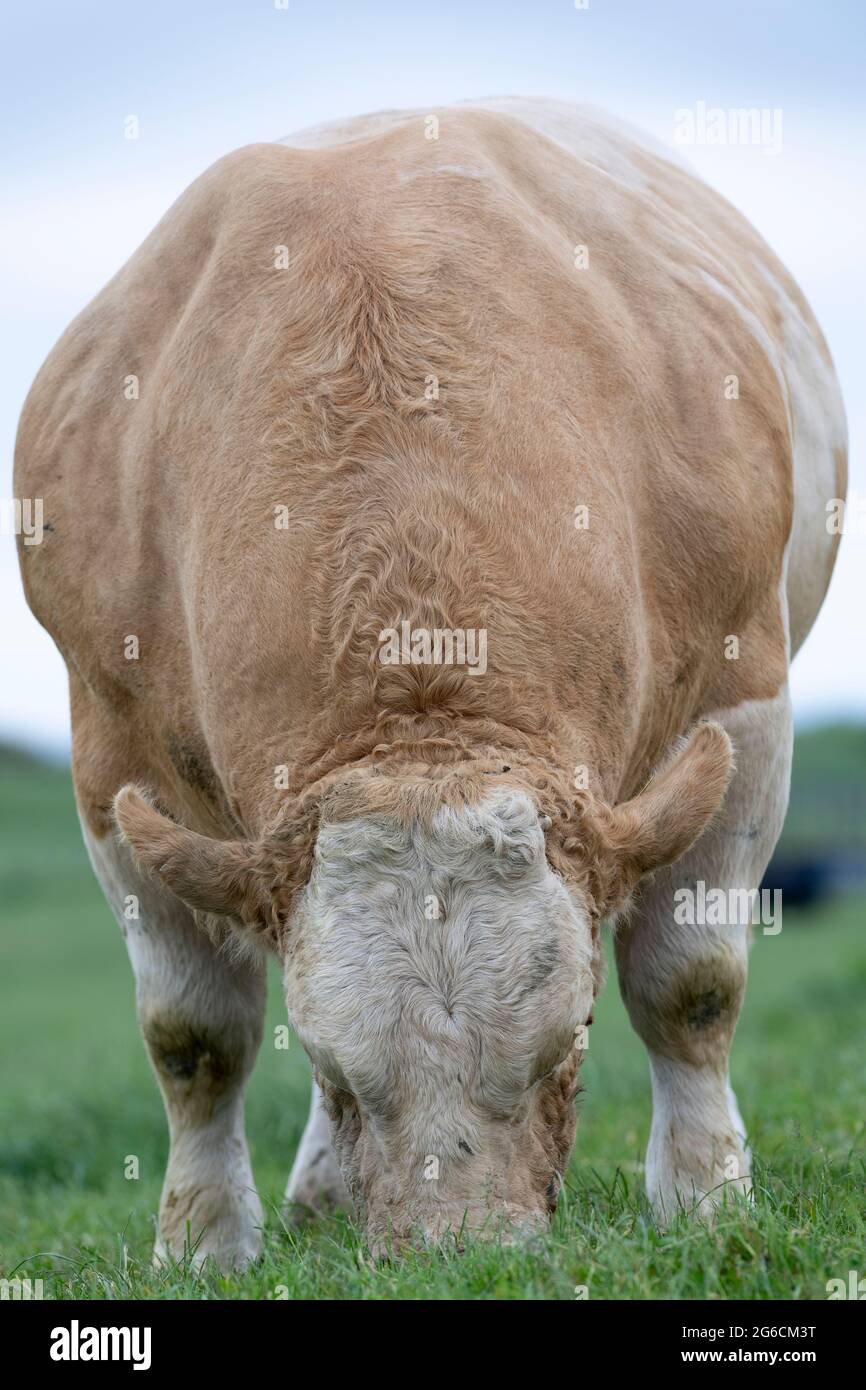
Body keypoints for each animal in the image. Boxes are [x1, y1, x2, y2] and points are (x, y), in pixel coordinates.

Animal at [15, 97, 846, 1266]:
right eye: (327, 1064)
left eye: (573, 1038)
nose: (464, 1251)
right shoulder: (109, 756)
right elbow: (192, 1037)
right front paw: (203, 1244)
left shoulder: (746, 700)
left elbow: (690, 984)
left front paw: (704, 1201)